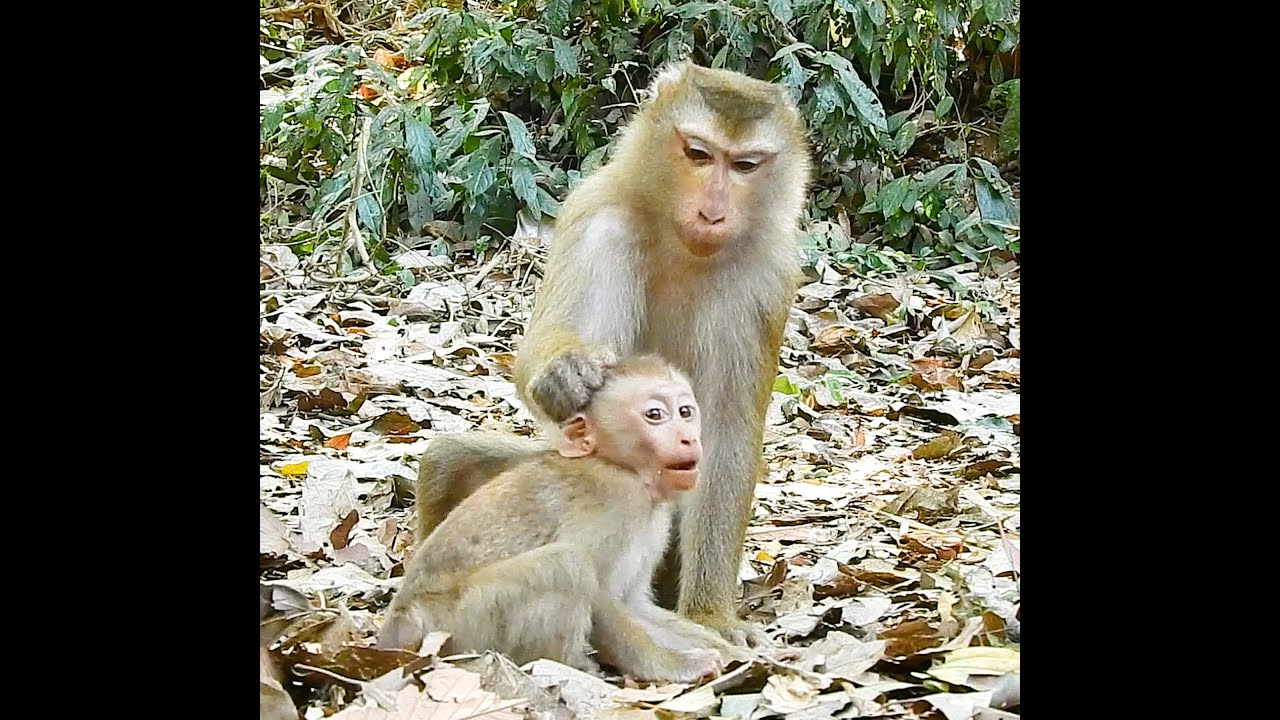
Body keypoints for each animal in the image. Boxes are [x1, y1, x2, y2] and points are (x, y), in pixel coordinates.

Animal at [381, 356, 738, 682]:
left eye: (685, 412)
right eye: (655, 415)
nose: (688, 438)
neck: (623, 467)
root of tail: (399, 622)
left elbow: (633, 604)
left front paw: (736, 652)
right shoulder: (616, 502)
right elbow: (602, 598)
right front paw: (672, 666)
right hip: (462, 623)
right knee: (567, 564)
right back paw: (570, 666)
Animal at [413, 61, 811, 645]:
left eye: (744, 165)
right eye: (698, 154)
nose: (714, 212)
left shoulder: (767, 279)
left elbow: (726, 432)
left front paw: (710, 615)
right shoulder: (599, 221)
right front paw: (564, 373)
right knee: (448, 463)